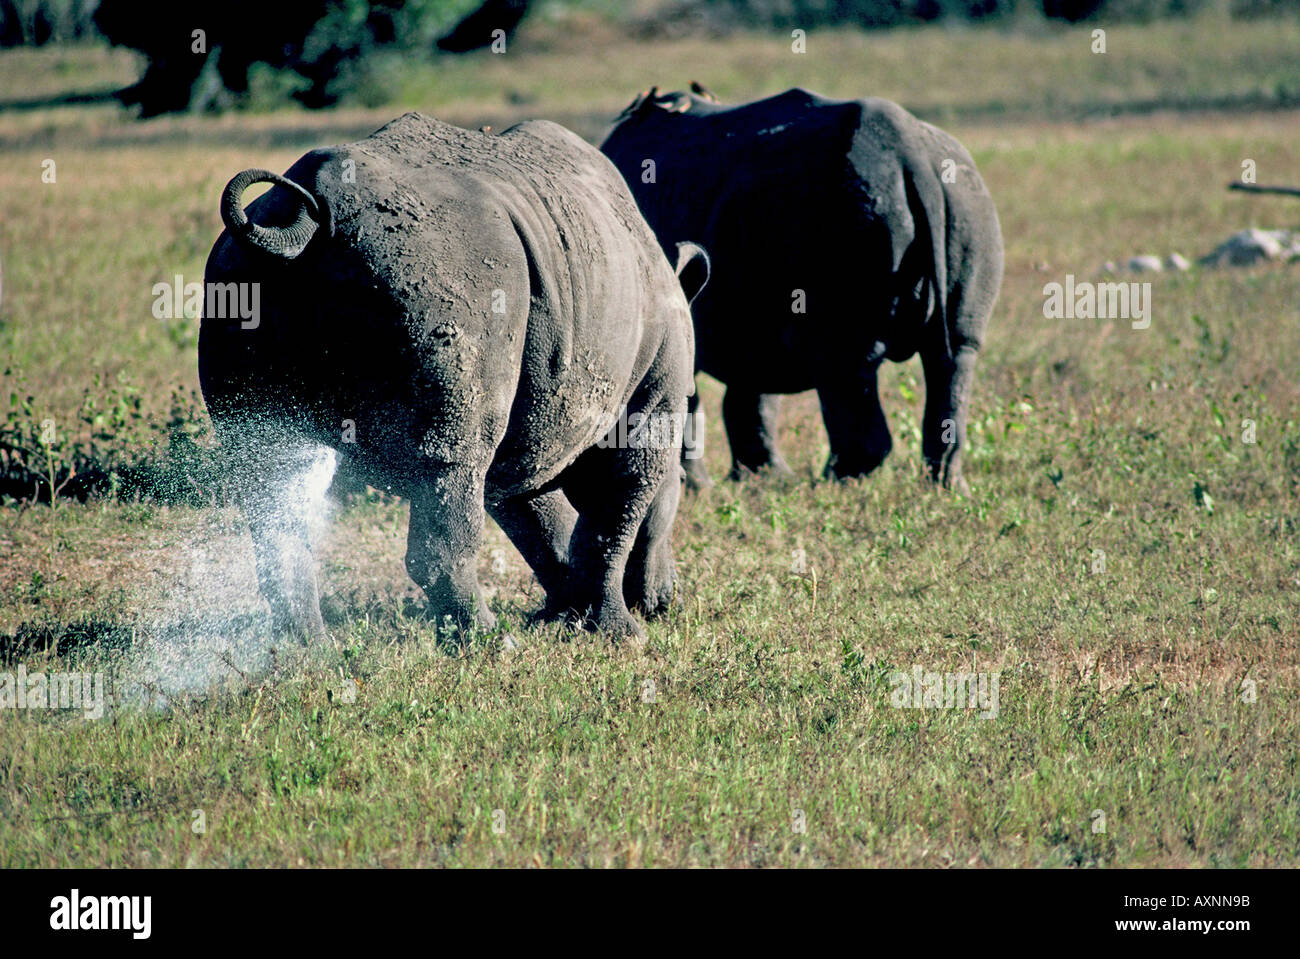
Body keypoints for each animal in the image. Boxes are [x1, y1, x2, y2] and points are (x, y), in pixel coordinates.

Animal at [200, 113, 708, 643]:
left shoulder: (534, 421)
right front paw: (616, 632)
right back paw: (491, 643)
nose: (665, 602)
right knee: (453, 456)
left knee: (273, 469)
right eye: (681, 485)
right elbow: (616, 511)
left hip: (237, 276)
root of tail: (308, 224)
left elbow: (542, 521)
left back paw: (310, 651)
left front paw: (563, 616)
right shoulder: (650, 399)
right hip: (443, 276)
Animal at [601, 85, 1003, 492]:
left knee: (843, 362)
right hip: (968, 199)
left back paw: (831, 484)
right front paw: (759, 477)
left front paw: (705, 486)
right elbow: (750, 395)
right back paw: (943, 487)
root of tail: (914, 155)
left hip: (845, 212)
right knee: (955, 354)